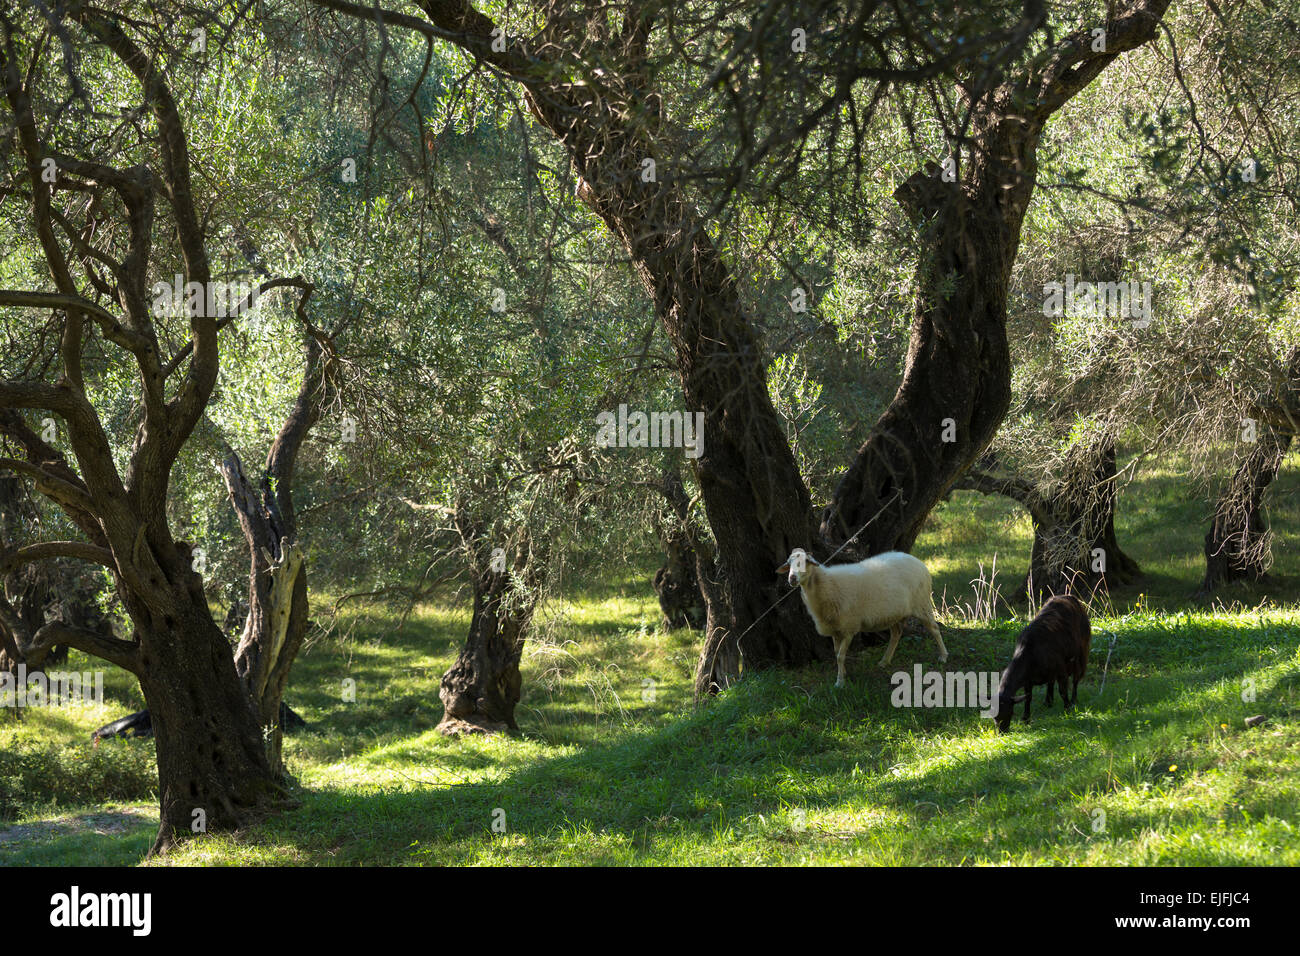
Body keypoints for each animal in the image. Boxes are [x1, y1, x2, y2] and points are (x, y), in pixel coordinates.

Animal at [776, 548, 948, 687]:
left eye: (806, 561)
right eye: (789, 563)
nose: (792, 579)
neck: (826, 585)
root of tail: (918, 561)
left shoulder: (849, 628)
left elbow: (840, 656)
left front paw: (840, 682)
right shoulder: (835, 629)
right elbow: (836, 653)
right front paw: (843, 673)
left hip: (922, 603)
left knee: (934, 628)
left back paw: (943, 656)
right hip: (894, 612)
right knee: (896, 634)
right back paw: (885, 661)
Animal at [994, 594, 1091, 732]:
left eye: (1010, 713)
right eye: (994, 717)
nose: (1002, 732)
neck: (1030, 652)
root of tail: (1069, 596)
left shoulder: (1061, 669)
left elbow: (1063, 691)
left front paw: (1068, 709)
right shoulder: (1028, 680)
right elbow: (1028, 697)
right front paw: (1026, 718)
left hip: (1081, 652)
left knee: (1076, 678)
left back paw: (1073, 700)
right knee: (1051, 682)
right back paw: (1048, 702)